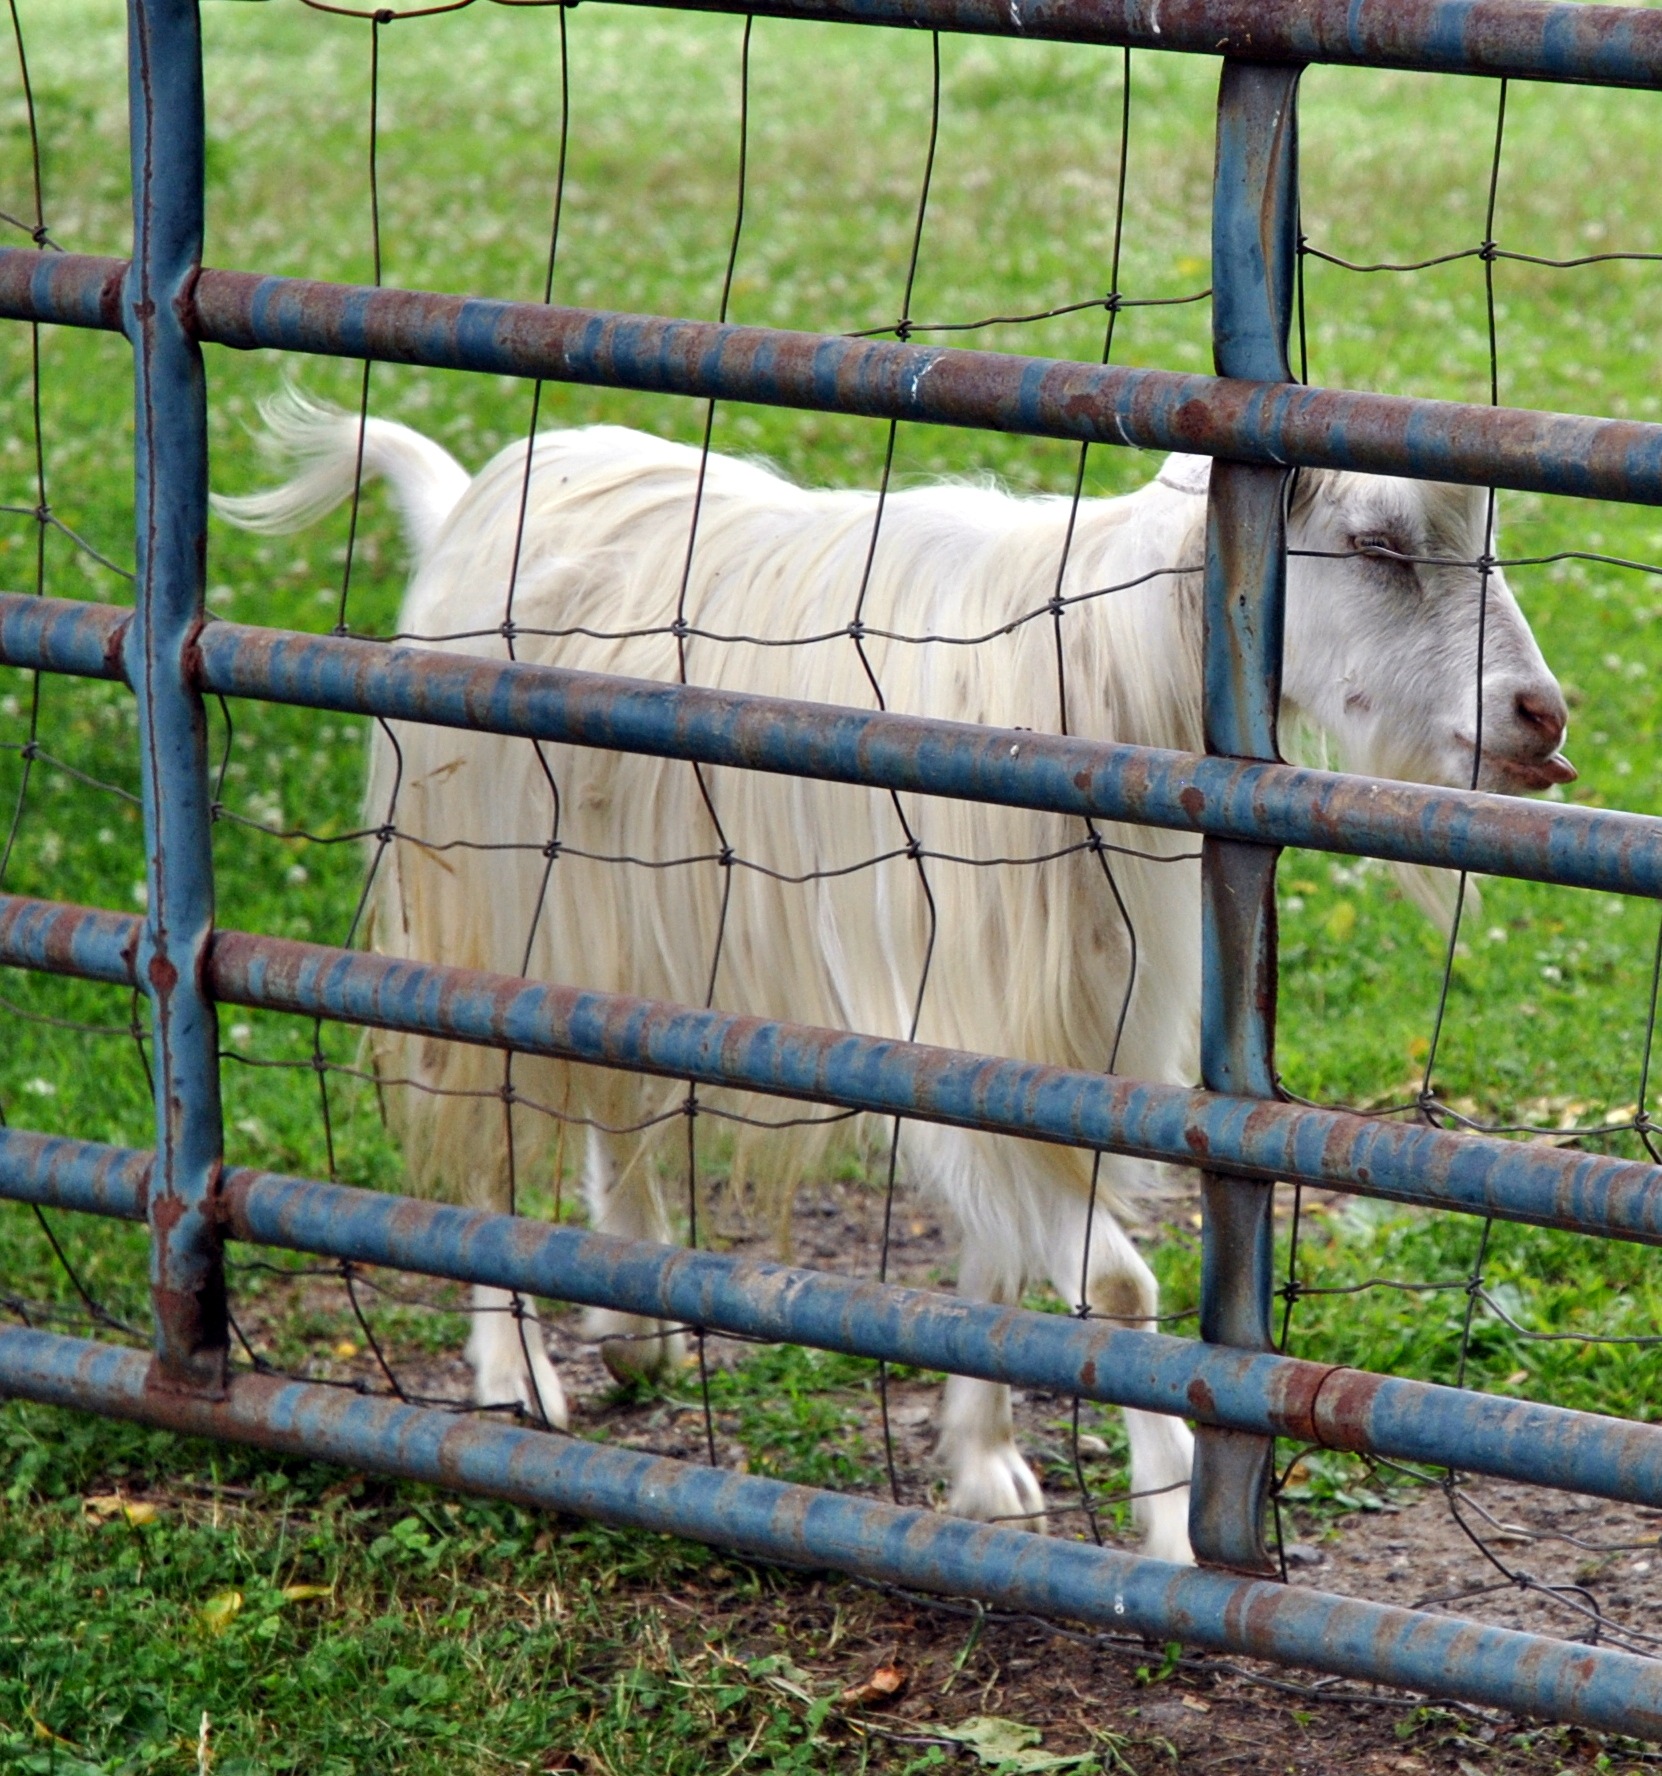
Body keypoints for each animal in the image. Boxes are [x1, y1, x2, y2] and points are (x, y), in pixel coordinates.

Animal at [218, 395, 1572, 1565]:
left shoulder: (1047, 1037)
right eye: (1379, 544)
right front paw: (1177, 1521)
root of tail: (460, 501)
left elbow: (1001, 1262)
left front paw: (984, 1468)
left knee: (609, 1085)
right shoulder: (962, 1012)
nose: (1542, 716)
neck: (1092, 676)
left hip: (625, 912)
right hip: (493, 902)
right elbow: (1114, 1285)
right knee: (499, 1104)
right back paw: (514, 1375)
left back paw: (633, 1318)